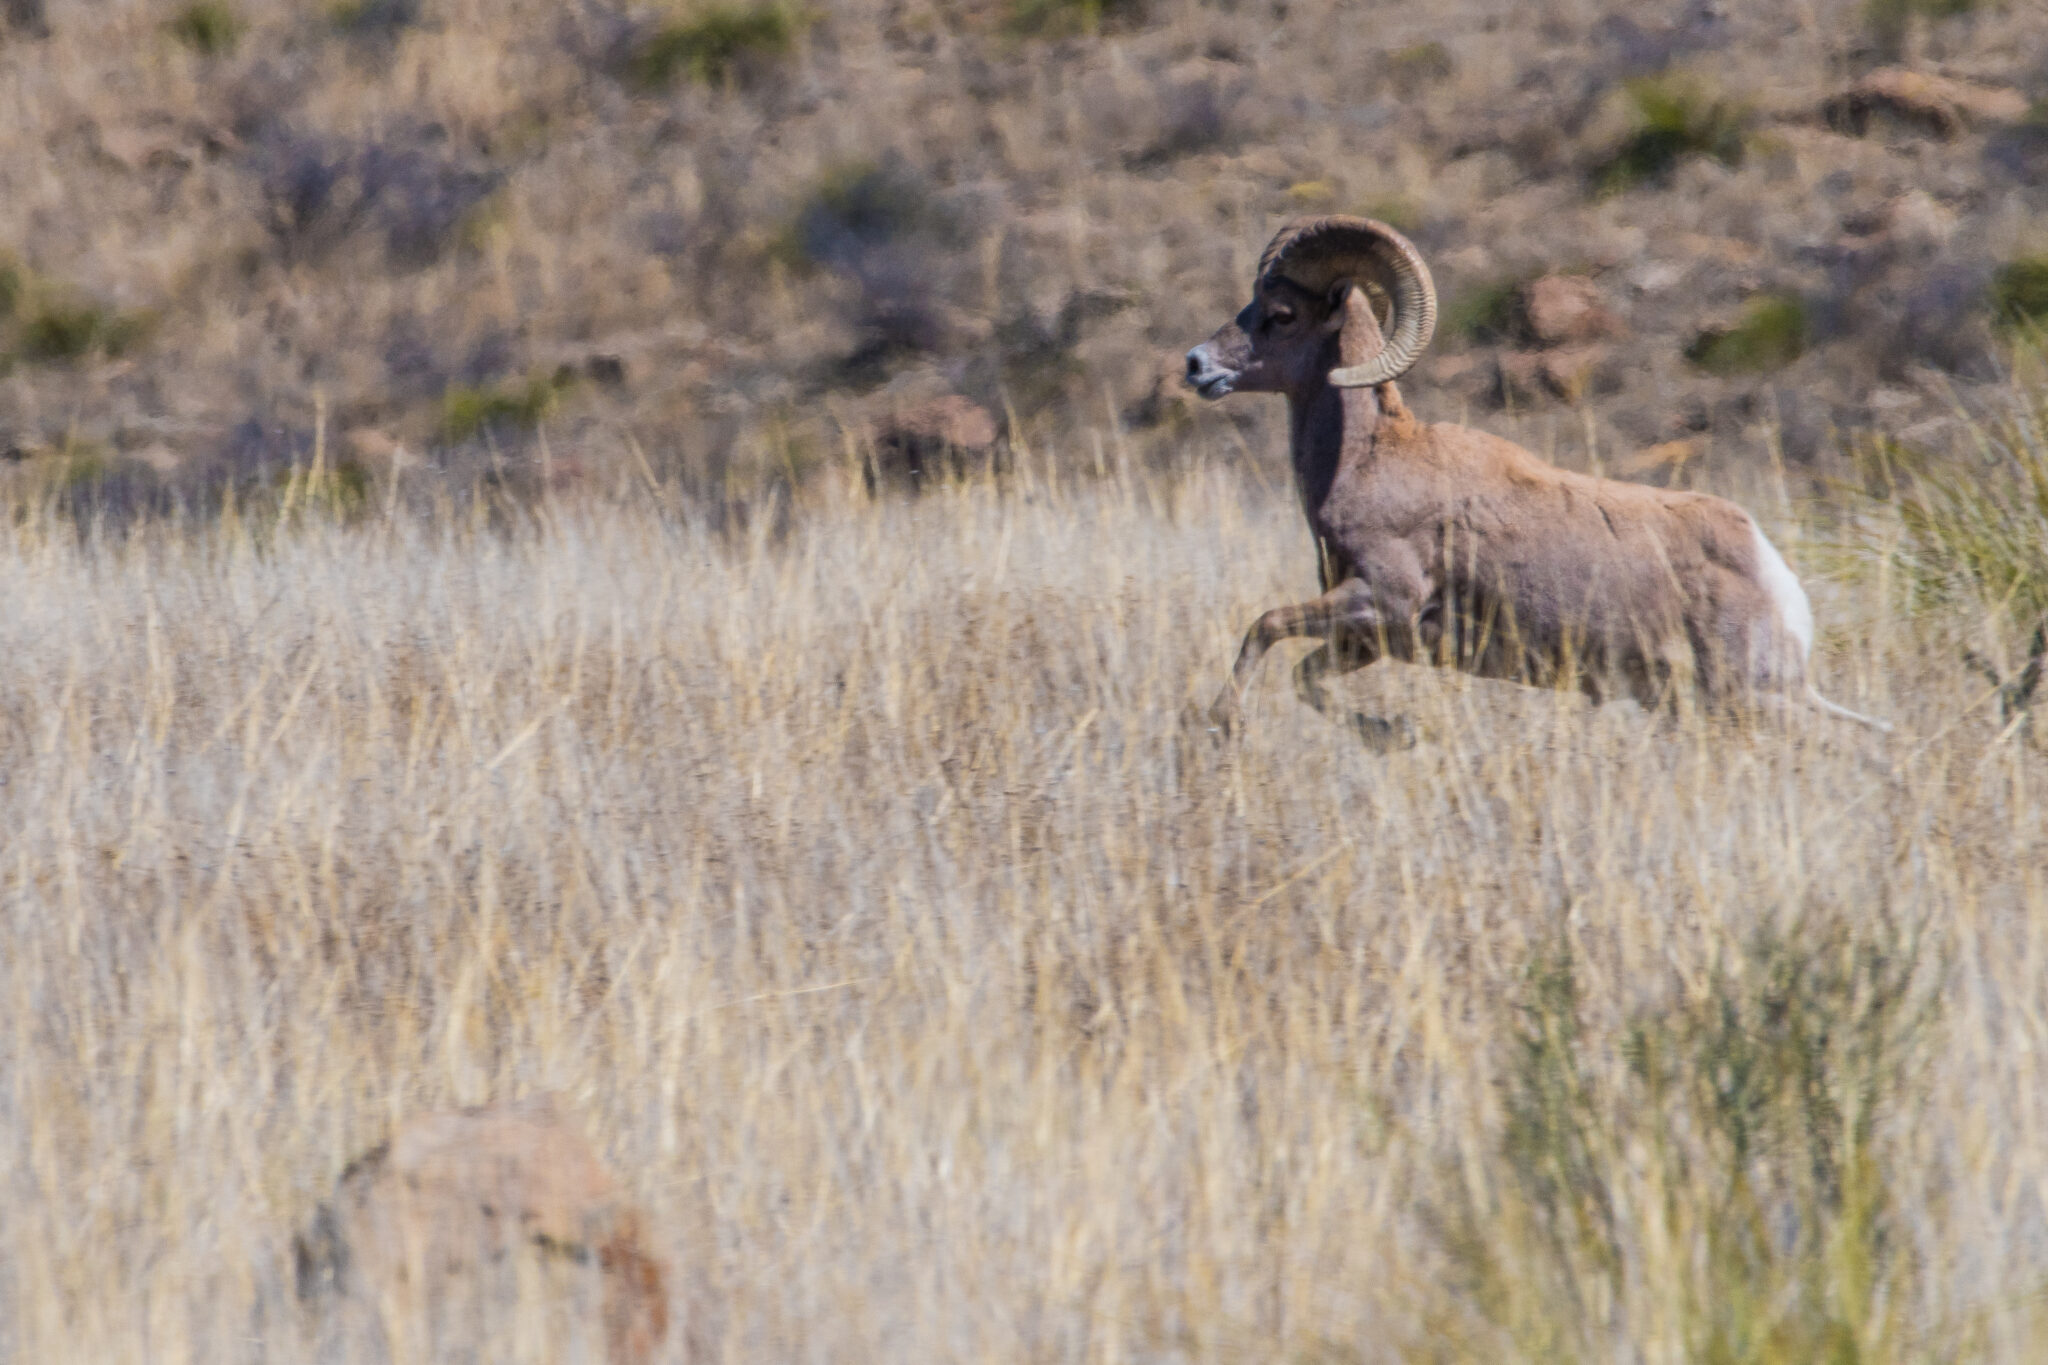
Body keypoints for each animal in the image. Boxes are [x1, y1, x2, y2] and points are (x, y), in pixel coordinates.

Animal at [1183, 215, 1888, 741]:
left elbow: (1264, 624)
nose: (1195, 365)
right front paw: (1393, 735)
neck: (1368, 461)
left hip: (1754, 700)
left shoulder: (1381, 601)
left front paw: (1223, 724)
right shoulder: (1371, 637)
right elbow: (1304, 678)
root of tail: (1775, 576)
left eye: (1280, 314)